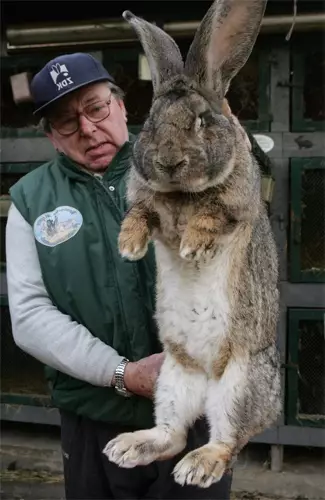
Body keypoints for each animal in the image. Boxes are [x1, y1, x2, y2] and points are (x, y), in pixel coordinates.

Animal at [102, 0, 280, 486]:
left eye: (202, 120)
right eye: (148, 122)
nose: (168, 162)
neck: (180, 192)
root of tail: (204, 376)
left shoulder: (235, 206)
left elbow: (212, 216)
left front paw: (193, 247)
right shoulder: (148, 205)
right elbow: (140, 215)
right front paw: (129, 246)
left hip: (238, 384)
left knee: (226, 441)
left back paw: (198, 467)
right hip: (172, 380)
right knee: (173, 434)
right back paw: (128, 447)